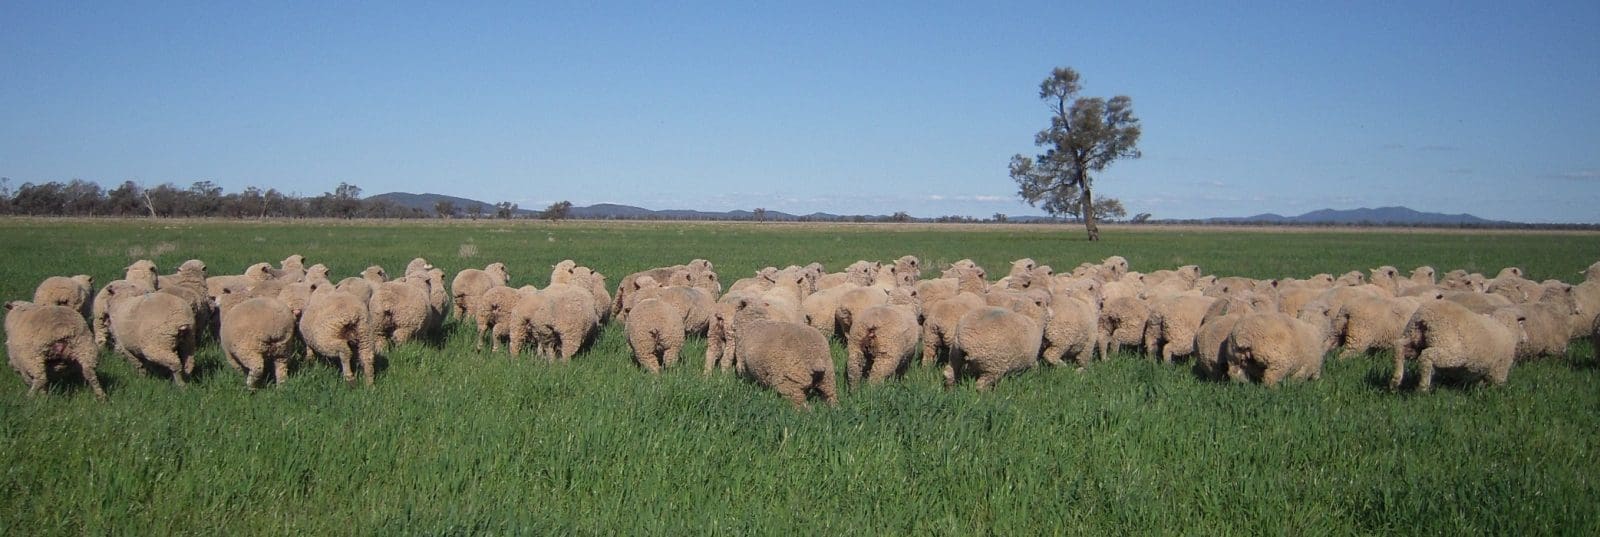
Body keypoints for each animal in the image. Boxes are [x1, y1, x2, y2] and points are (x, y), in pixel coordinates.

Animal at [1391, 300, 1524, 392]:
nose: (1525, 339)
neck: (1506, 328)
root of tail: (1425, 317)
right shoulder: (1500, 369)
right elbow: (1496, 385)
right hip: (1450, 349)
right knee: (1426, 356)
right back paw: (1422, 387)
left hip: (1414, 337)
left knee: (1399, 347)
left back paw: (1396, 380)